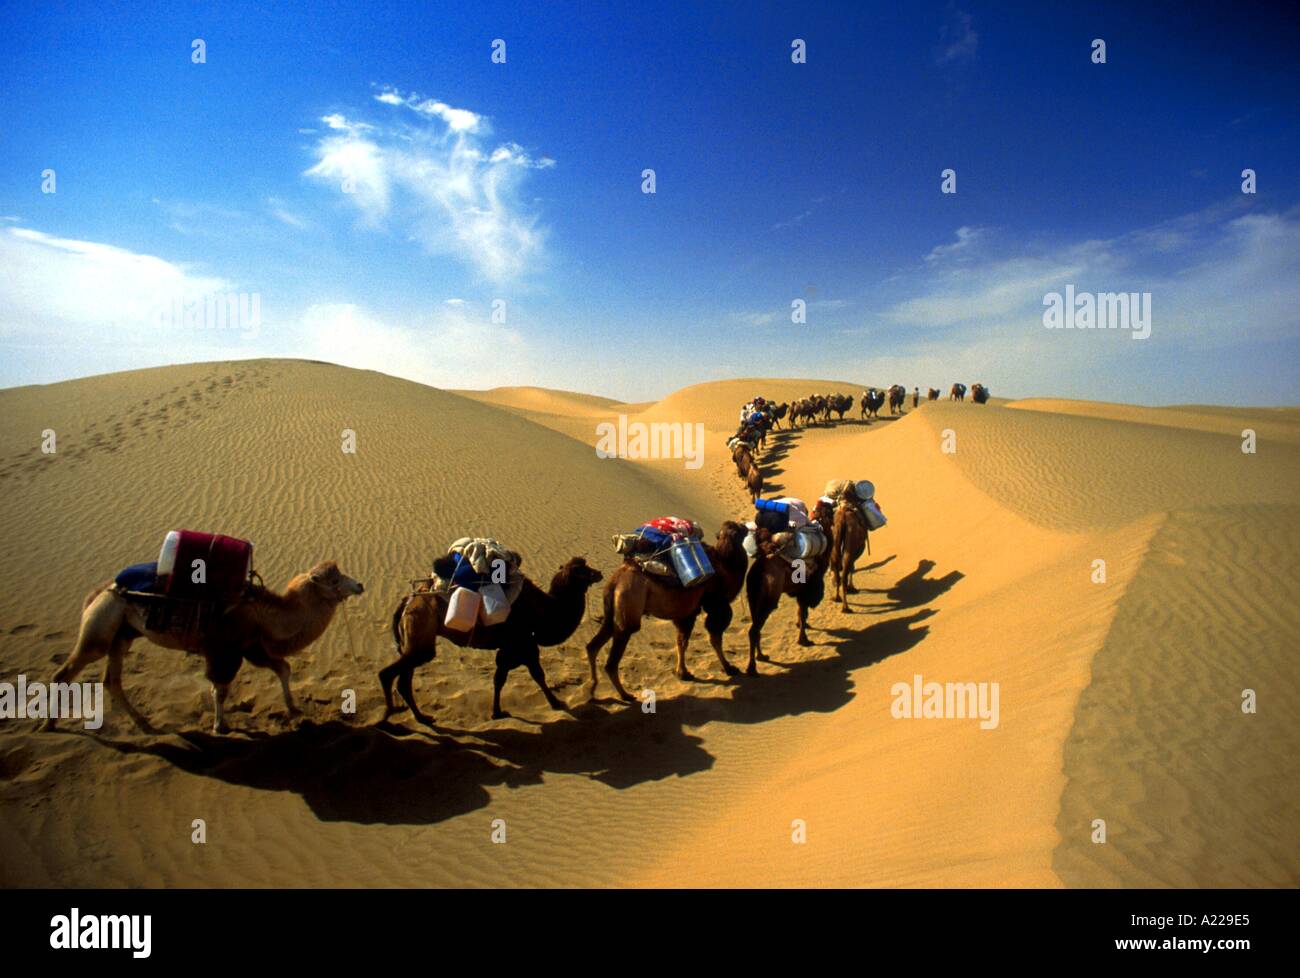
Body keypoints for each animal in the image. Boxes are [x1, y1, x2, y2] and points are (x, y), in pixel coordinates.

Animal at [45, 560, 365, 734]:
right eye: (334, 579)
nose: (360, 585)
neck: (269, 614)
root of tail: (100, 592)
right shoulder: (226, 650)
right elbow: (219, 688)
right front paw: (219, 726)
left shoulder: (252, 646)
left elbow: (283, 668)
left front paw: (294, 708)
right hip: (100, 631)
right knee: (65, 672)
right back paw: (49, 725)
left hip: (122, 634)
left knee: (111, 681)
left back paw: (146, 724)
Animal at [381, 557, 603, 724]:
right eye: (581, 570)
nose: (599, 573)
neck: (543, 611)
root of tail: (407, 602)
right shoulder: (522, 643)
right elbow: (537, 675)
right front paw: (556, 702)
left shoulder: (510, 647)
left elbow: (499, 678)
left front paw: (496, 712)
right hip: (421, 638)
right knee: (389, 674)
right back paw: (389, 716)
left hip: (413, 643)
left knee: (403, 681)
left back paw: (422, 717)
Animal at [586, 521, 750, 702]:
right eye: (740, 528)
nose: (747, 526)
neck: (726, 568)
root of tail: (616, 581)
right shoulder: (714, 606)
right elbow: (714, 639)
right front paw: (728, 668)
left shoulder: (686, 612)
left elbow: (681, 641)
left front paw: (682, 672)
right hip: (628, 610)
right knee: (612, 661)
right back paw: (625, 695)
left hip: (610, 613)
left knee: (593, 646)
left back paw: (592, 689)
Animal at [743, 499, 834, 674]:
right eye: (831, 511)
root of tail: (759, 570)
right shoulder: (807, 590)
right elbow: (803, 614)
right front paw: (804, 640)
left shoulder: (799, 591)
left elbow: (800, 613)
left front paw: (803, 635)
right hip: (769, 597)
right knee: (754, 630)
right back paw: (752, 668)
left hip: (752, 597)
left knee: (756, 627)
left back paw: (762, 656)